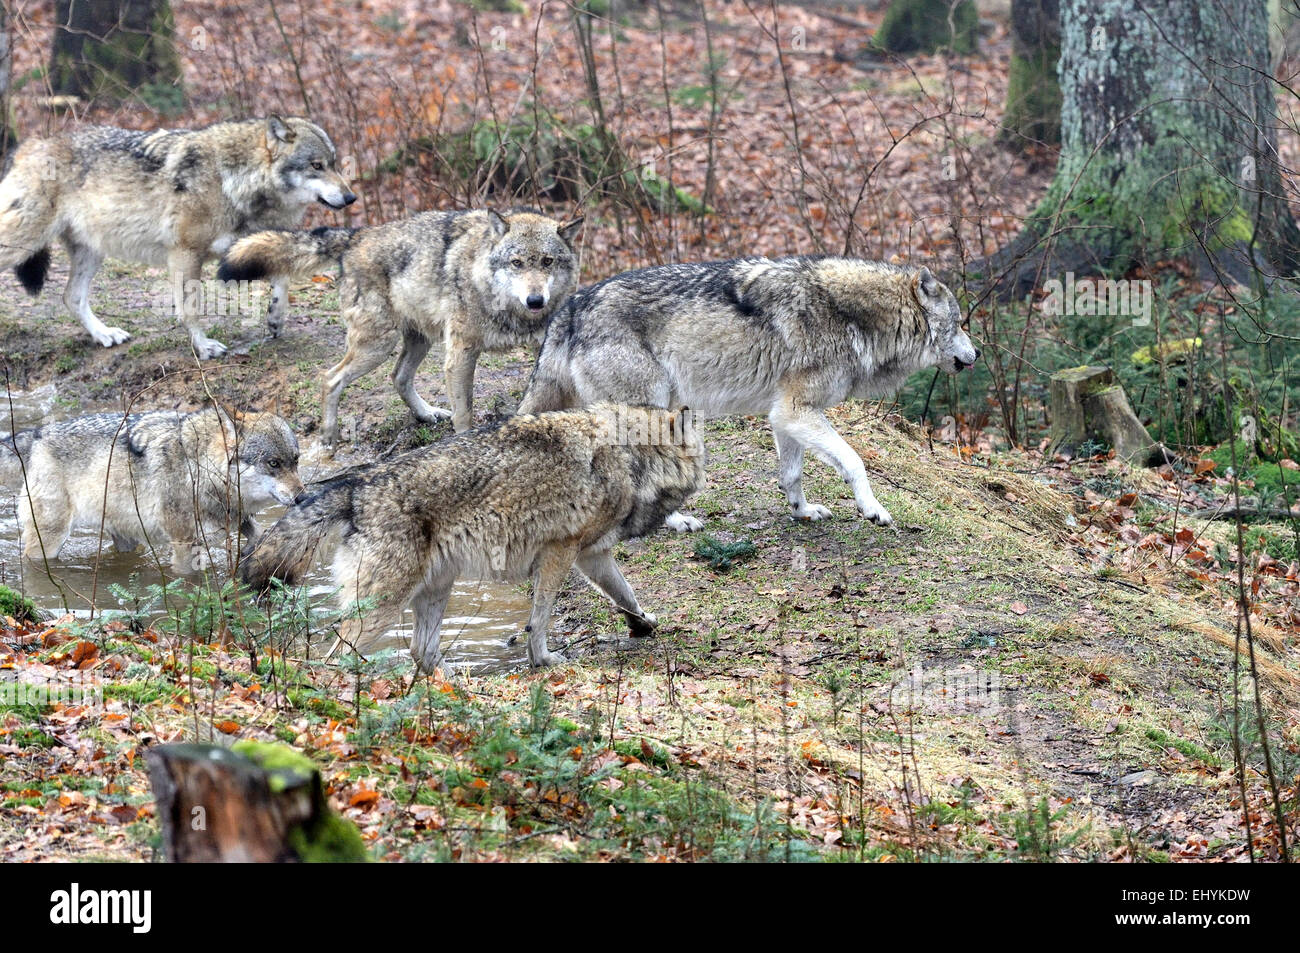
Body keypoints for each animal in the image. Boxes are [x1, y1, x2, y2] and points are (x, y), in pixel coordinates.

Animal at [0, 116, 355, 359]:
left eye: (335, 164)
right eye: (316, 166)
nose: (351, 197)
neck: (231, 181)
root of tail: (28, 146)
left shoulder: (251, 244)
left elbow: (281, 279)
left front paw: (276, 319)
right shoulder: (185, 253)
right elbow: (190, 308)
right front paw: (204, 347)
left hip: (91, 250)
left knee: (71, 297)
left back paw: (105, 334)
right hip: (25, 241)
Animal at [0, 407, 303, 573]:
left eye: (296, 461)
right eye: (273, 463)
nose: (302, 497)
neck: (201, 468)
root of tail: (37, 434)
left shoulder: (238, 520)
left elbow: (259, 535)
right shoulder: (183, 544)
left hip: (126, 538)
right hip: (49, 540)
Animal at [218, 208, 581, 444]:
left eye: (547, 261)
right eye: (516, 263)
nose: (535, 300)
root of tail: (357, 235)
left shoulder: (541, 345)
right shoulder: (460, 354)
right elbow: (464, 414)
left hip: (418, 341)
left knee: (398, 377)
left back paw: (426, 414)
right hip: (378, 346)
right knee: (330, 378)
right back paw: (328, 437)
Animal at [239, 405, 703, 671]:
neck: (629, 454)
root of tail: (357, 485)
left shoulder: (593, 556)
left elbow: (627, 595)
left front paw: (644, 625)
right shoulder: (560, 553)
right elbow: (540, 620)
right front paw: (543, 660)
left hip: (434, 590)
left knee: (421, 653)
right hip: (381, 610)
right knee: (337, 655)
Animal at [519, 257, 980, 531]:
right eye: (960, 323)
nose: (976, 355)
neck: (851, 316)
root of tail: (571, 309)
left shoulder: (784, 416)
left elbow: (791, 474)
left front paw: (802, 511)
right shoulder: (797, 411)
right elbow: (854, 461)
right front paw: (873, 509)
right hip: (650, 417)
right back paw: (675, 521)